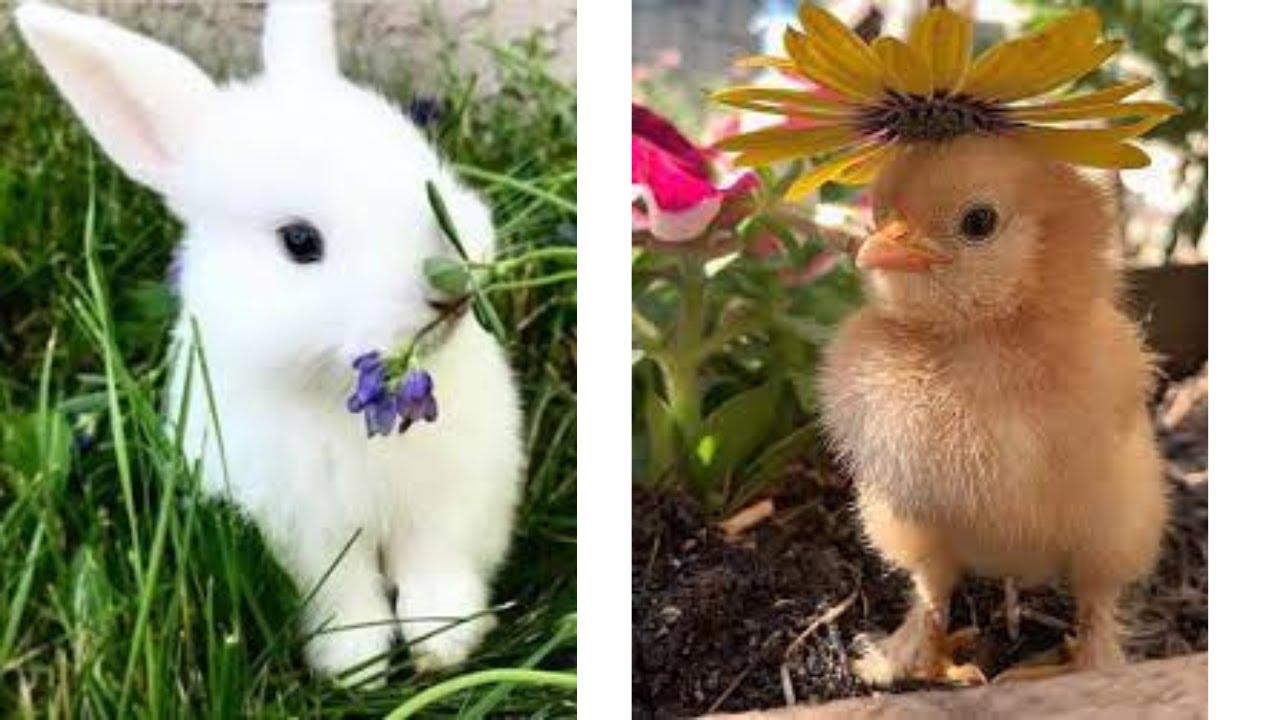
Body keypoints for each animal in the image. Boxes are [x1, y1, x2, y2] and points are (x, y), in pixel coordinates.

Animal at [15, 0, 525, 686]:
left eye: (424, 162)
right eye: (299, 242)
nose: (450, 292)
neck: (338, 396)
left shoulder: (453, 501)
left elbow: (435, 568)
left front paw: (444, 645)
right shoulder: (305, 537)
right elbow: (344, 596)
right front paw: (357, 667)